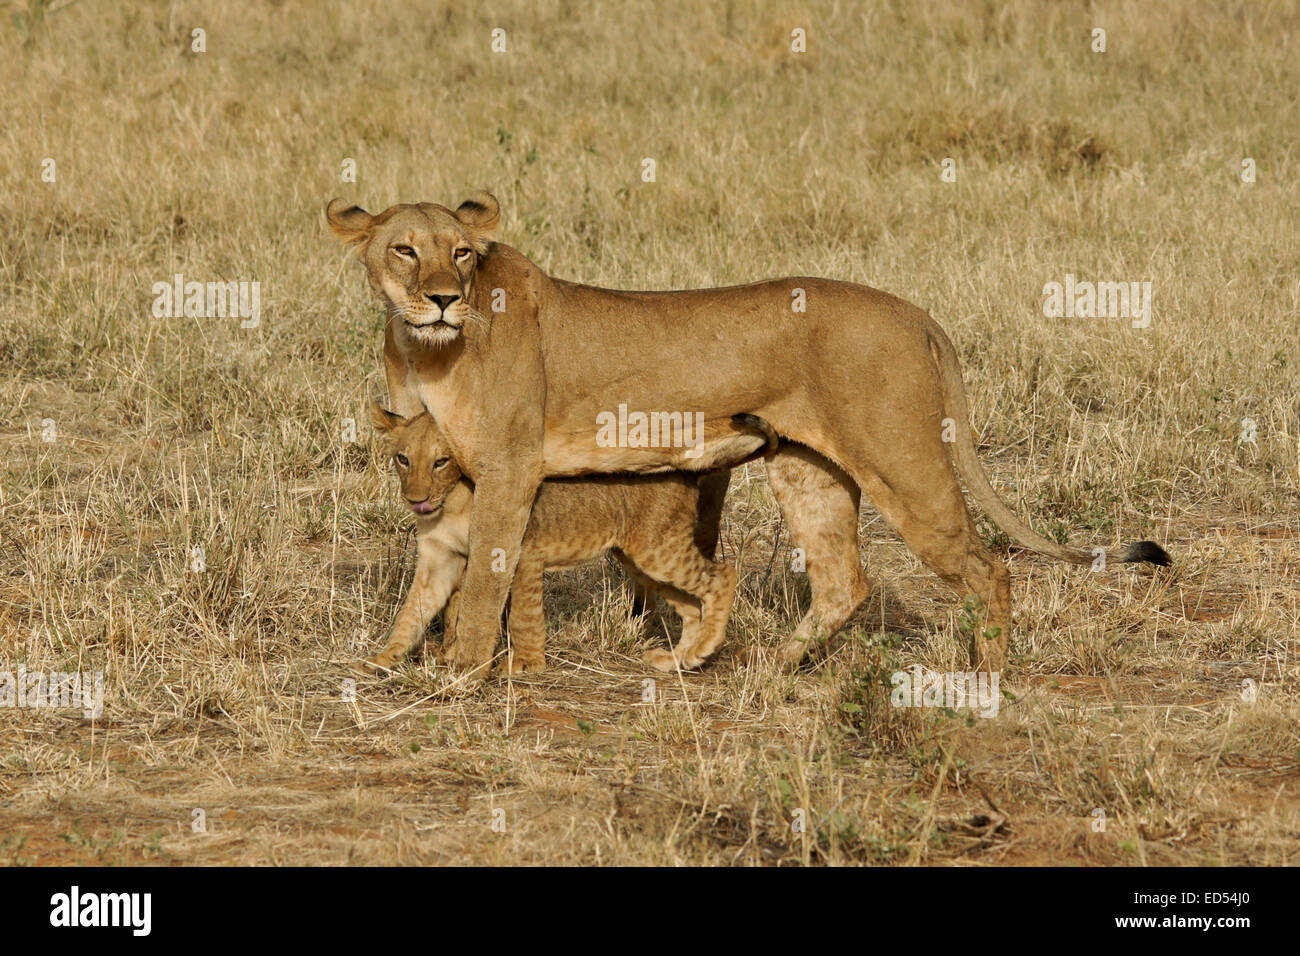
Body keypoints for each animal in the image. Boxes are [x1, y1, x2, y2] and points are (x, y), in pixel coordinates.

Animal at [364, 403, 779, 674]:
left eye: (441, 461)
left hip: (657, 549)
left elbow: (524, 613)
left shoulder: (522, 550)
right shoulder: (440, 559)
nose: (416, 500)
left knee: (722, 576)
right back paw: (681, 660)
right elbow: (413, 612)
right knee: (691, 605)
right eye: (402, 459)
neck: (449, 503)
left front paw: (525, 666)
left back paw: (703, 650)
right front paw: (381, 660)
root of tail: (683, 468)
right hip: (641, 559)